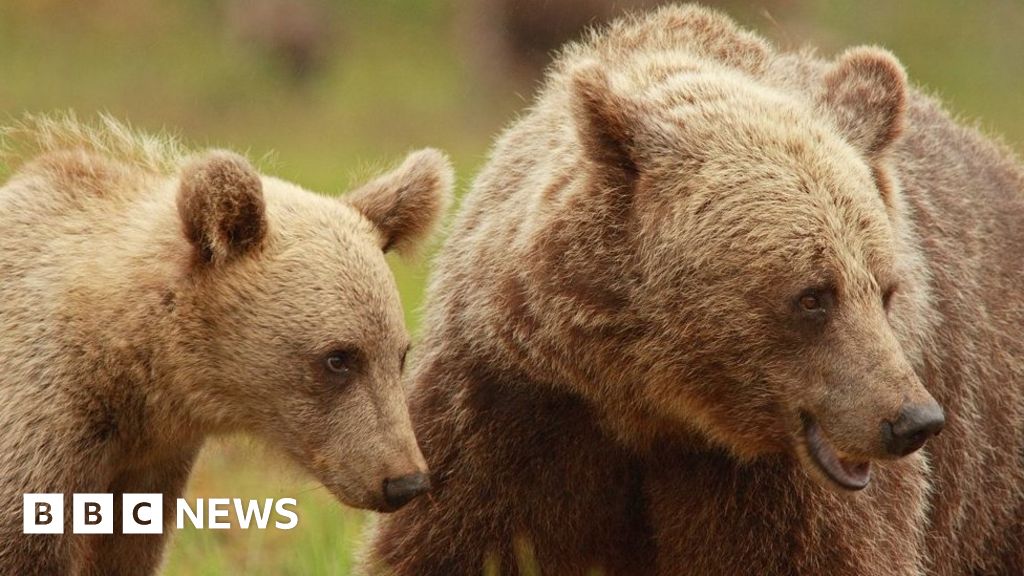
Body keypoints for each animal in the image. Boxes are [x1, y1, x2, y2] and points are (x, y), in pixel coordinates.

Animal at [365, 5, 1024, 576]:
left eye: (887, 291)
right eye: (814, 295)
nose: (913, 420)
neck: (650, 404)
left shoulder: (773, 492)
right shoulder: (510, 412)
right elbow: (454, 542)